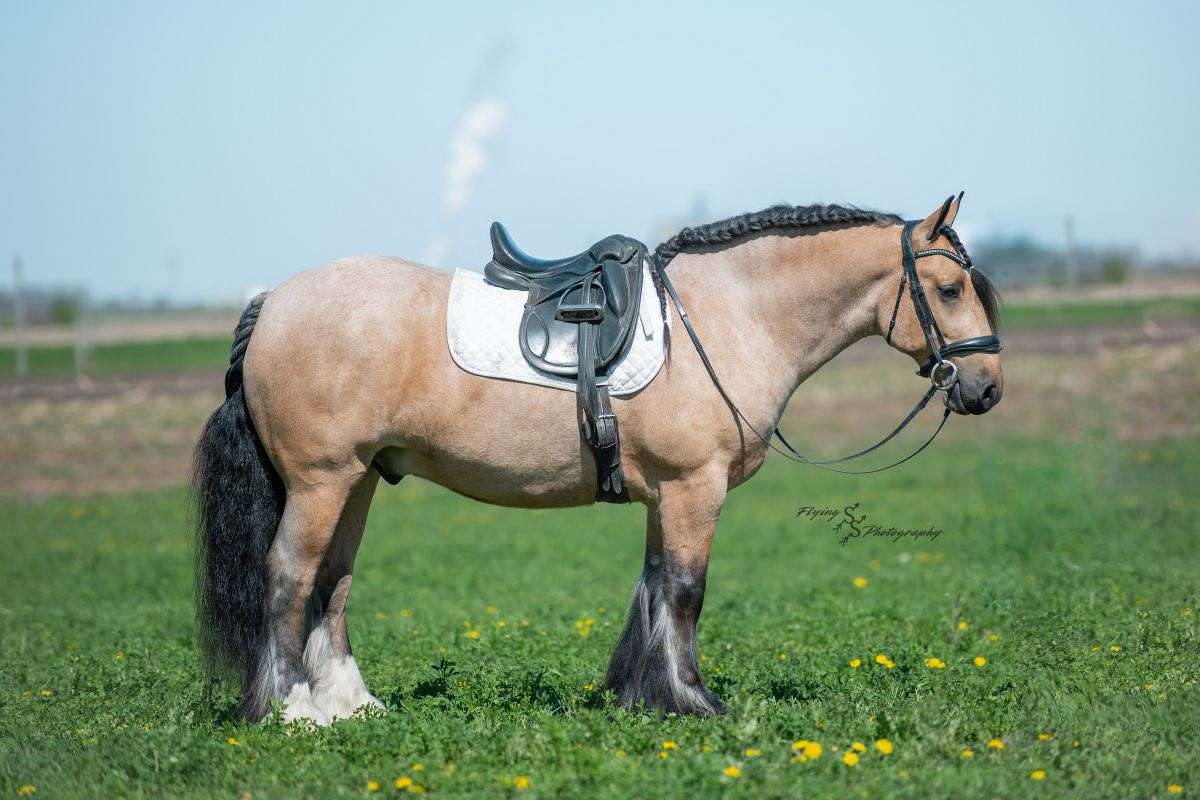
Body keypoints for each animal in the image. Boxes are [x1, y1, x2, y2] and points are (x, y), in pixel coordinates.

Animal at [193, 194, 1003, 724]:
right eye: (948, 288)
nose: (986, 388)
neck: (723, 317)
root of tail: (273, 301)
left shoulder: (667, 494)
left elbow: (652, 586)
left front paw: (639, 696)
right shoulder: (695, 488)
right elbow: (685, 591)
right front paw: (694, 701)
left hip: (359, 479)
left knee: (333, 581)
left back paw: (351, 704)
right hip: (321, 481)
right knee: (288, 575)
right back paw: (291, 709)